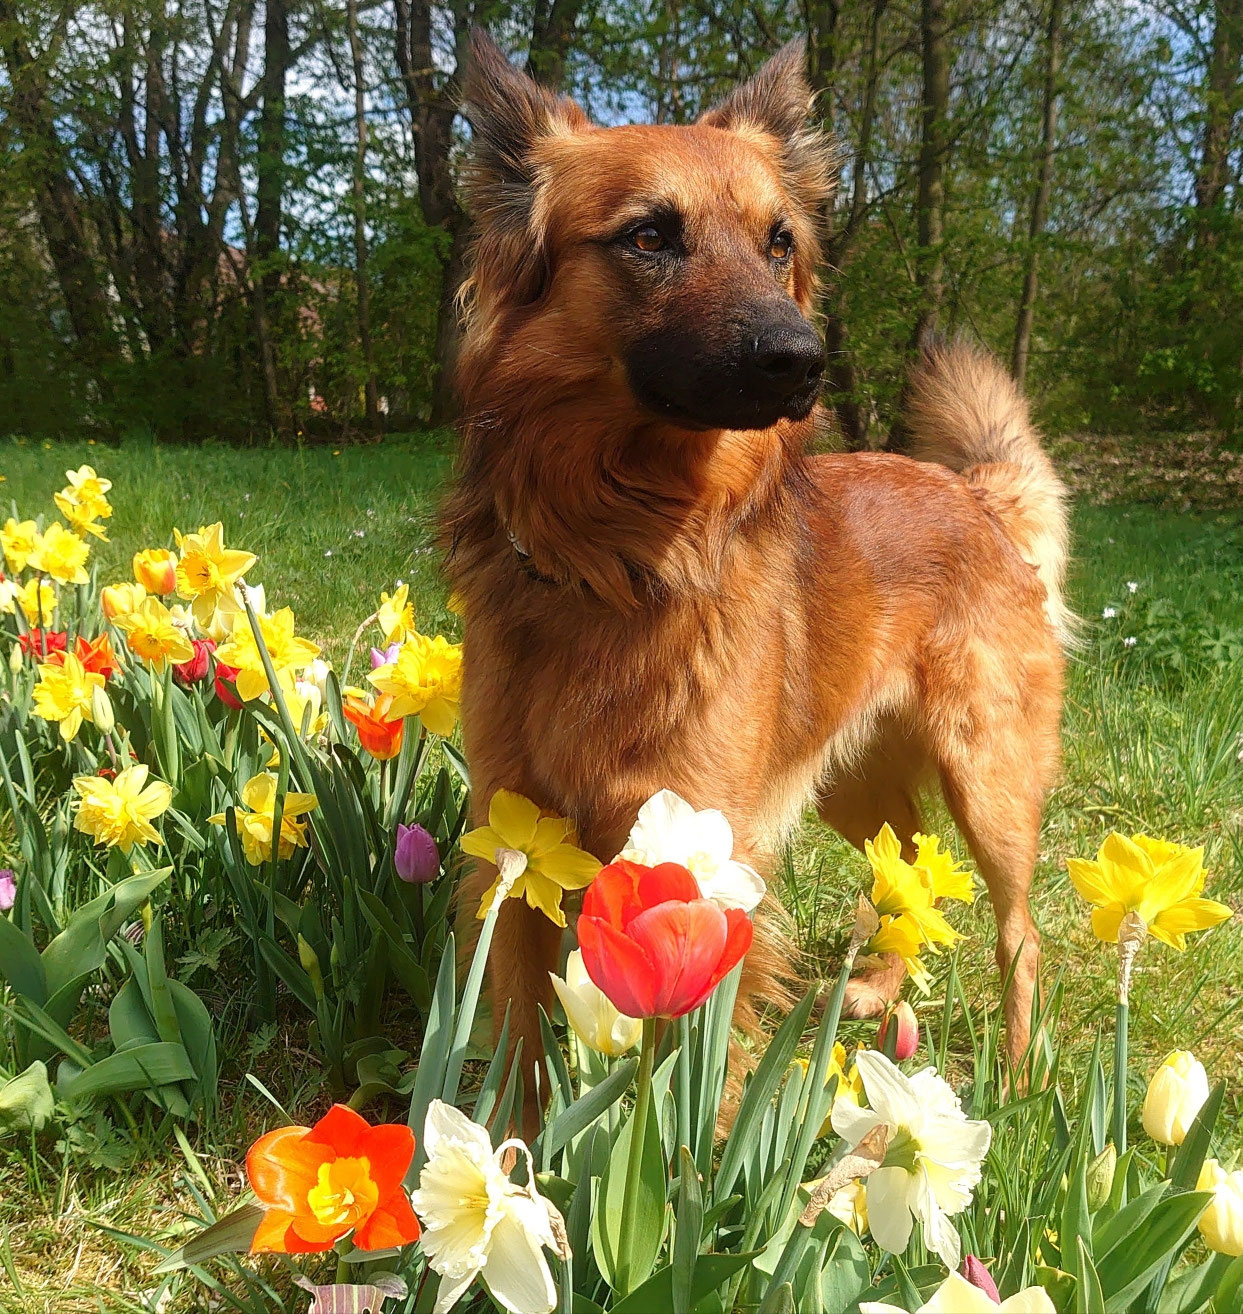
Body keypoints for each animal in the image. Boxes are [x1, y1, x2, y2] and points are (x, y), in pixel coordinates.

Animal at [441, 32, 1070, 1127]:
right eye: (650, 235)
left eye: (780, 243)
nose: (802, 359)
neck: (623, 554)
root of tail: (974, 496)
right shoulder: (514, 847)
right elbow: (516, 1053)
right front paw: (509, 1158)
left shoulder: (700, 856)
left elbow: (683, 1089)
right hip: (849, 784)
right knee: (904, 868)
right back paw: (872, 989)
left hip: (990, 783)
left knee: (1018, 934)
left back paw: (1021, 1074)